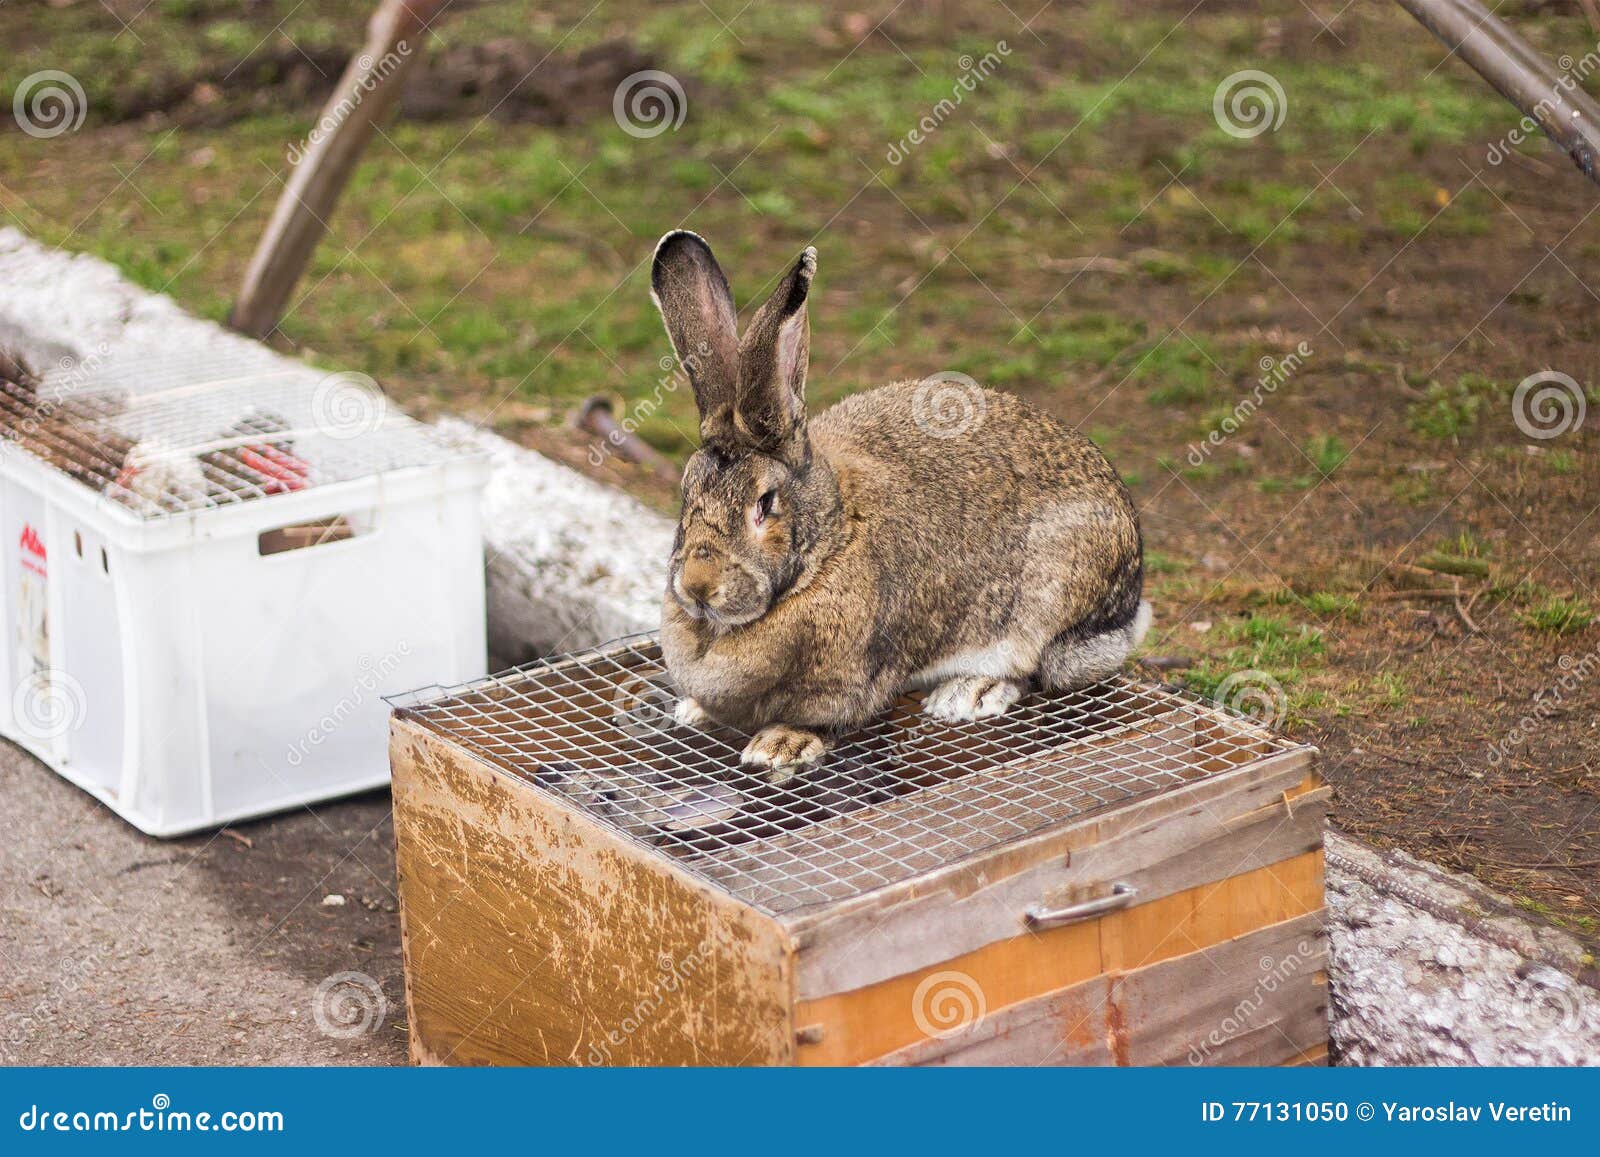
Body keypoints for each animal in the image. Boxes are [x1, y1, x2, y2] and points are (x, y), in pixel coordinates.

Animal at [651, 230, 1150, 784]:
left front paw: (780, 744)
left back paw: (968, 693)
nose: (697, 587)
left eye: (765, 504)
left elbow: (831, 719)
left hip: (1050, 605)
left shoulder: (852, 681)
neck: (831, 540)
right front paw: (693, 709)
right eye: (687, 492)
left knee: (1038, 668)